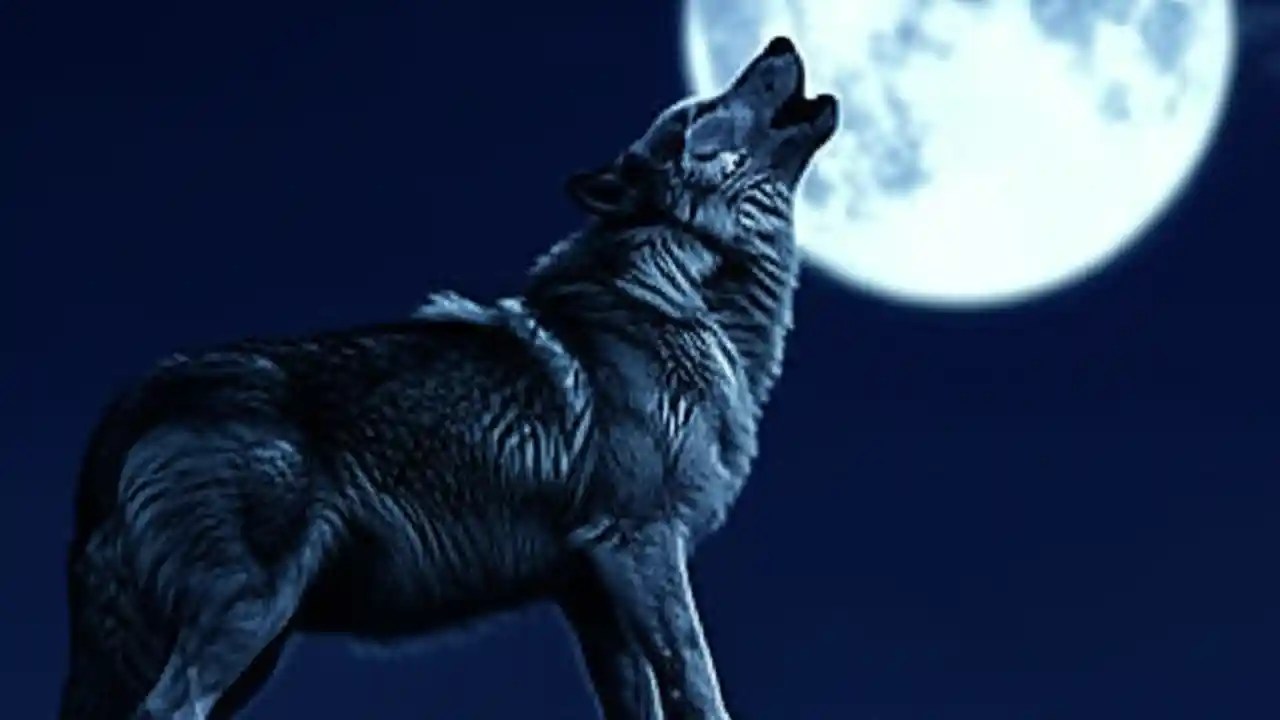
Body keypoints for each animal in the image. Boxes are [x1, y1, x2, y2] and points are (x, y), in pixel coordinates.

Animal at [59, 36, 836, 720]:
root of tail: (135, 397)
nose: (778, 39)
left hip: (253, 649)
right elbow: (700, 689)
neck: (684, 286)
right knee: (166, 707)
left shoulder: (594, 593)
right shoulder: (641, 546)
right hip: (248, 620)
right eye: (706, 106)